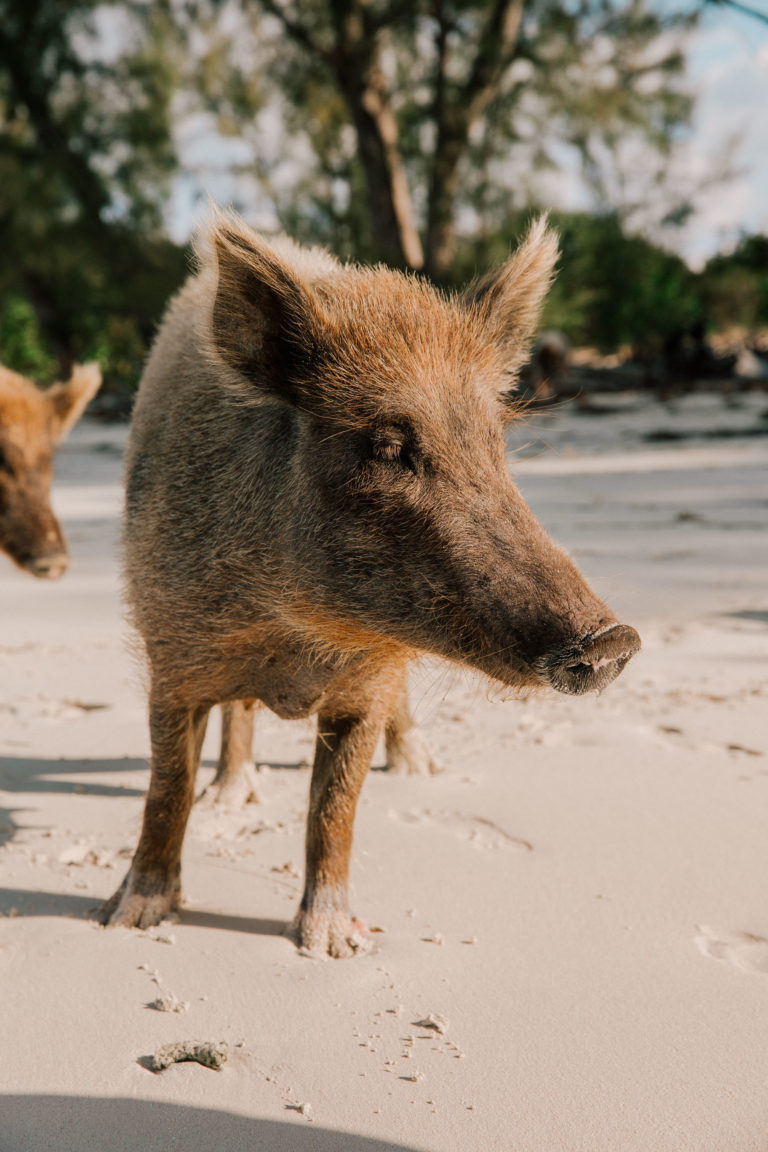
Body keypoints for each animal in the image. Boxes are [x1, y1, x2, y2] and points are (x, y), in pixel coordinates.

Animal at [102, 211, 640, 956]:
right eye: (386, 445)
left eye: (495, 441)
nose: (614, 639)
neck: (297, 637)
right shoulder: (171, 650)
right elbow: (167, 787)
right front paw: (128, 919)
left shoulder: (369, 678)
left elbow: (336, 805)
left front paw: (334, 946)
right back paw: (231, 795)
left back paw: (419, 770)